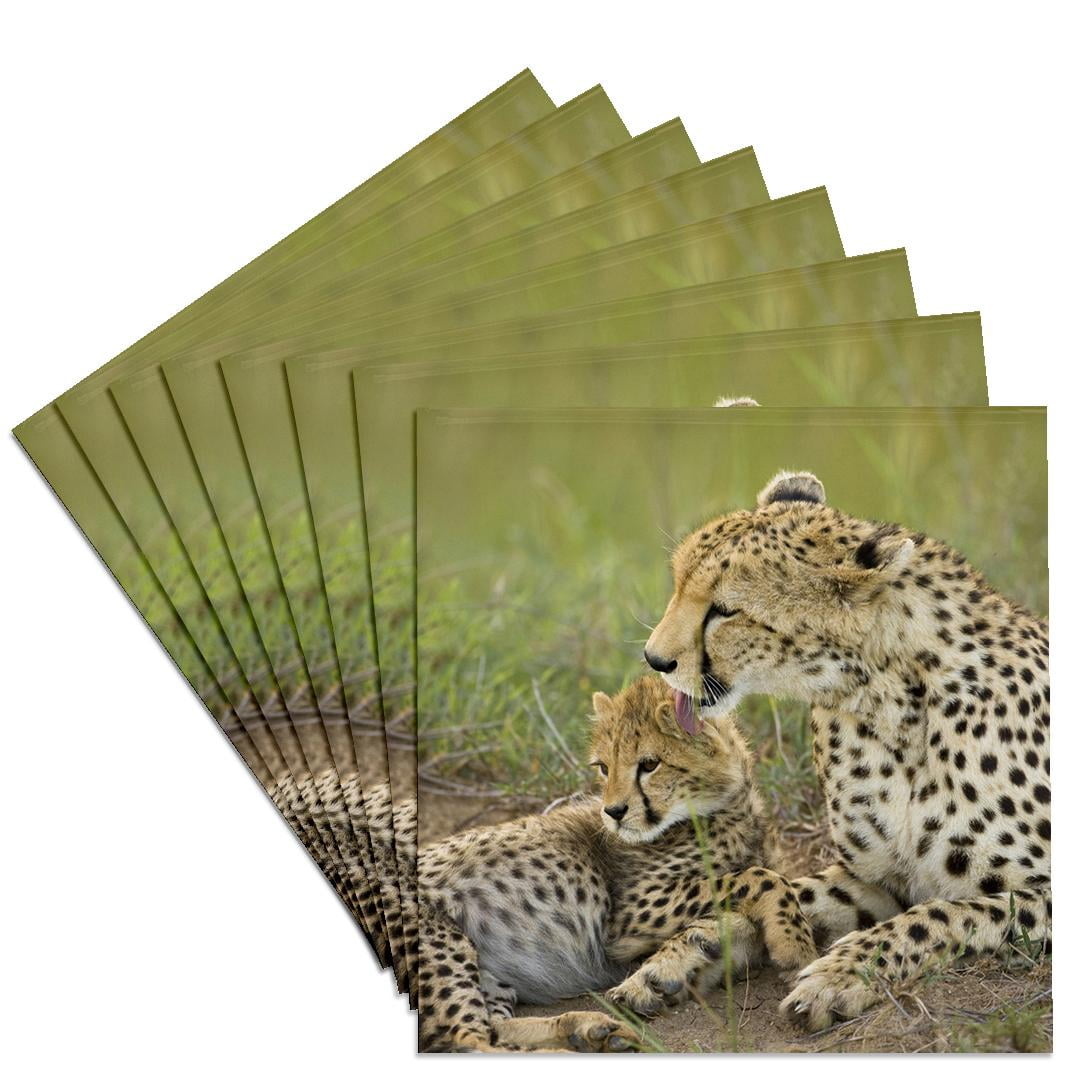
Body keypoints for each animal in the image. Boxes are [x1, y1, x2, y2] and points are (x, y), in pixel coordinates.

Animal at [380, 675, 817, 1052]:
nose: (614, 812)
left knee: (492, 1030)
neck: (719, 809)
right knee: (465, 1038)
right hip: (440, 942)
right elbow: (763, 877)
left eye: (649, 764)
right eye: (604, 767)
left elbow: (752, 897)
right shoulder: (631, 914)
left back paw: (588, 1030)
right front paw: (795, 945)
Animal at [643, 469, 1050, 1031]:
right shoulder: (877, 879)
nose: (654, 659)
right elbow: (791, 889)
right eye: (679, 585)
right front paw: (680, 954)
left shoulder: (1044, 889)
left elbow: (942, 914)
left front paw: (838, 976)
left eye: (725, 611)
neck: (887, 700)